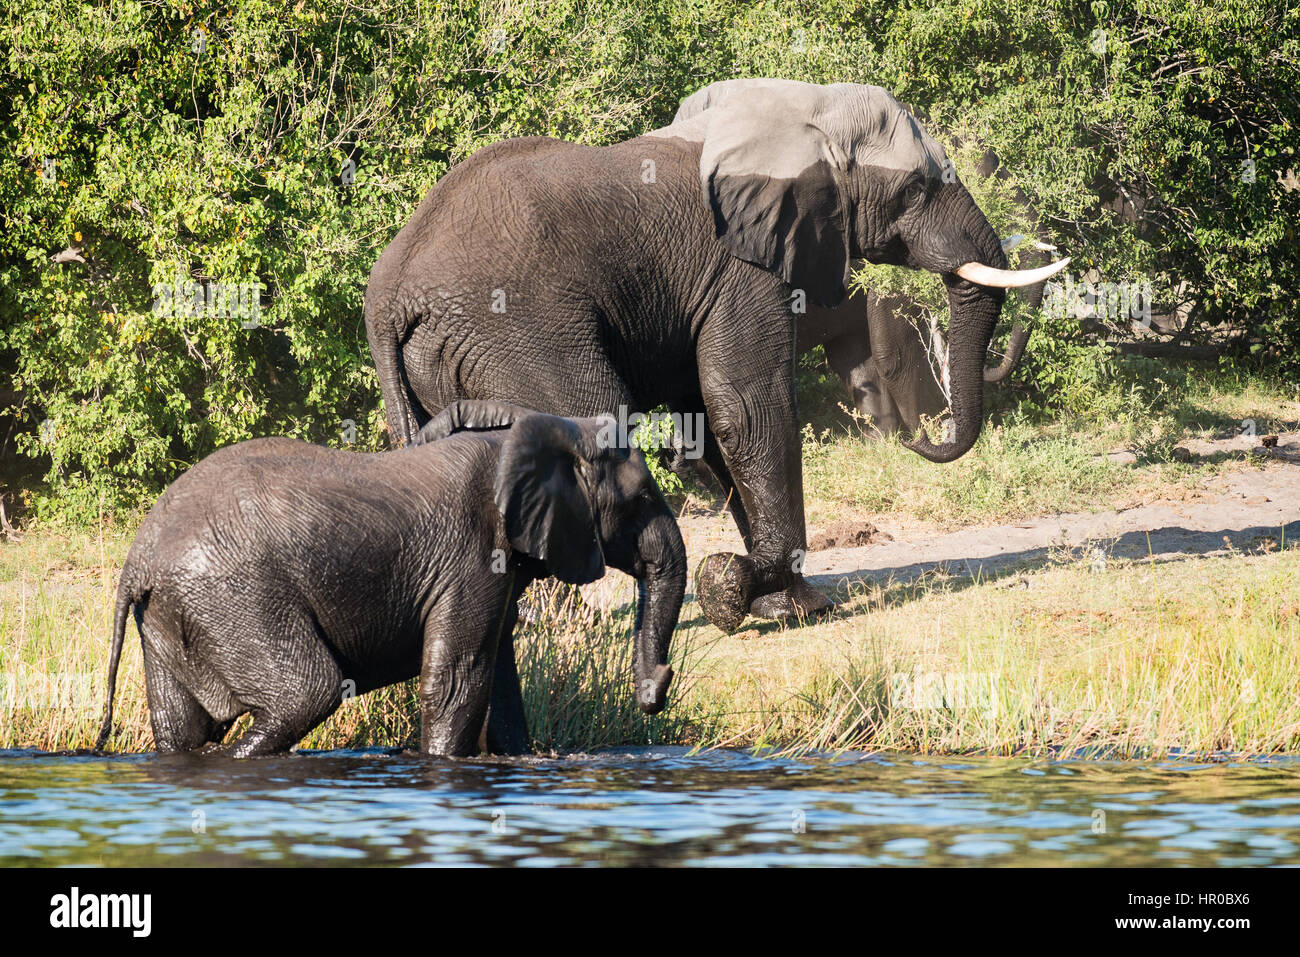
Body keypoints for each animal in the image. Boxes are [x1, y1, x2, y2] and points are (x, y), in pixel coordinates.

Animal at [95, 400, 685, 758]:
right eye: (642, 500)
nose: (658, 688)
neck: (547, 427)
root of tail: (138, 560)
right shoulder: (472, 553)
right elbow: (455, 679)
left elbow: (494, 669)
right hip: (233, 595)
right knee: (307, 692)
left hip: (173, 614)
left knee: (181, 723)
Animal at [364, 78, 1068, 632]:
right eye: (917, 189)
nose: (923, 440)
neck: (801, 107)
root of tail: (390, 295)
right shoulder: (743, 266)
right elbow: (747, 405)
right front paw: (747, 592)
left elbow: (708, 420)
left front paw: (786, 602)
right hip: (518, 329)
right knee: (592, 426)